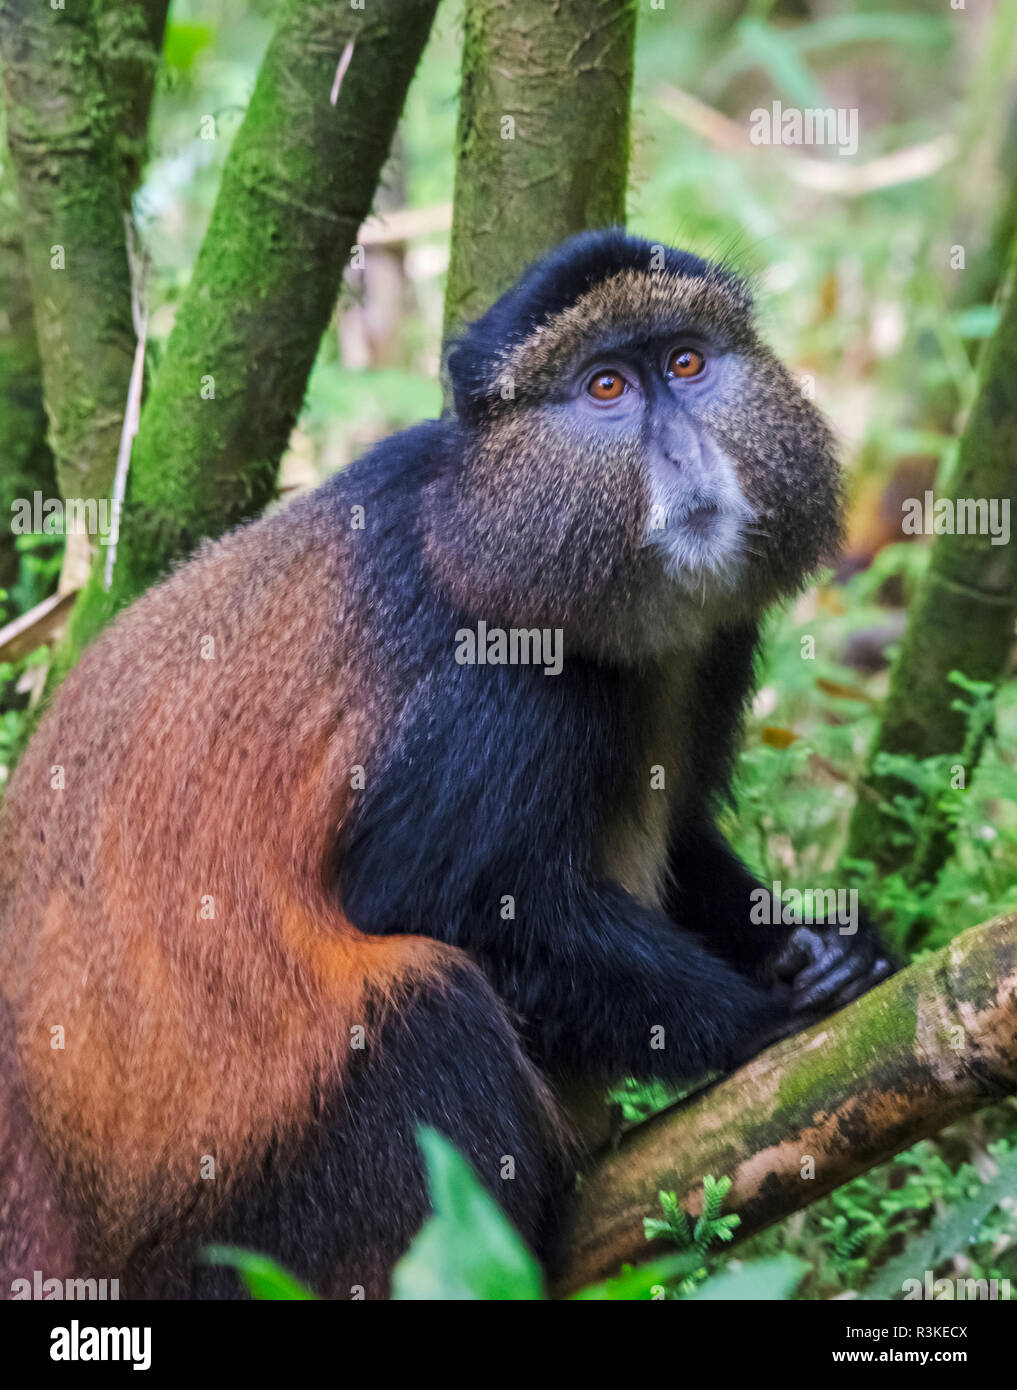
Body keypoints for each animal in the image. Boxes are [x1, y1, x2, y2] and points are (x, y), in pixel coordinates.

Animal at [0, 229, 894, 1300]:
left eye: (685, 363)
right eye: (604, 387)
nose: (685, 455)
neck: (483, 523)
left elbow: (679, 845)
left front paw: (828, 947)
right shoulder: (497, 685)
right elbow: (433, 896)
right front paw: (765, 1019)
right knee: (428, 1007)